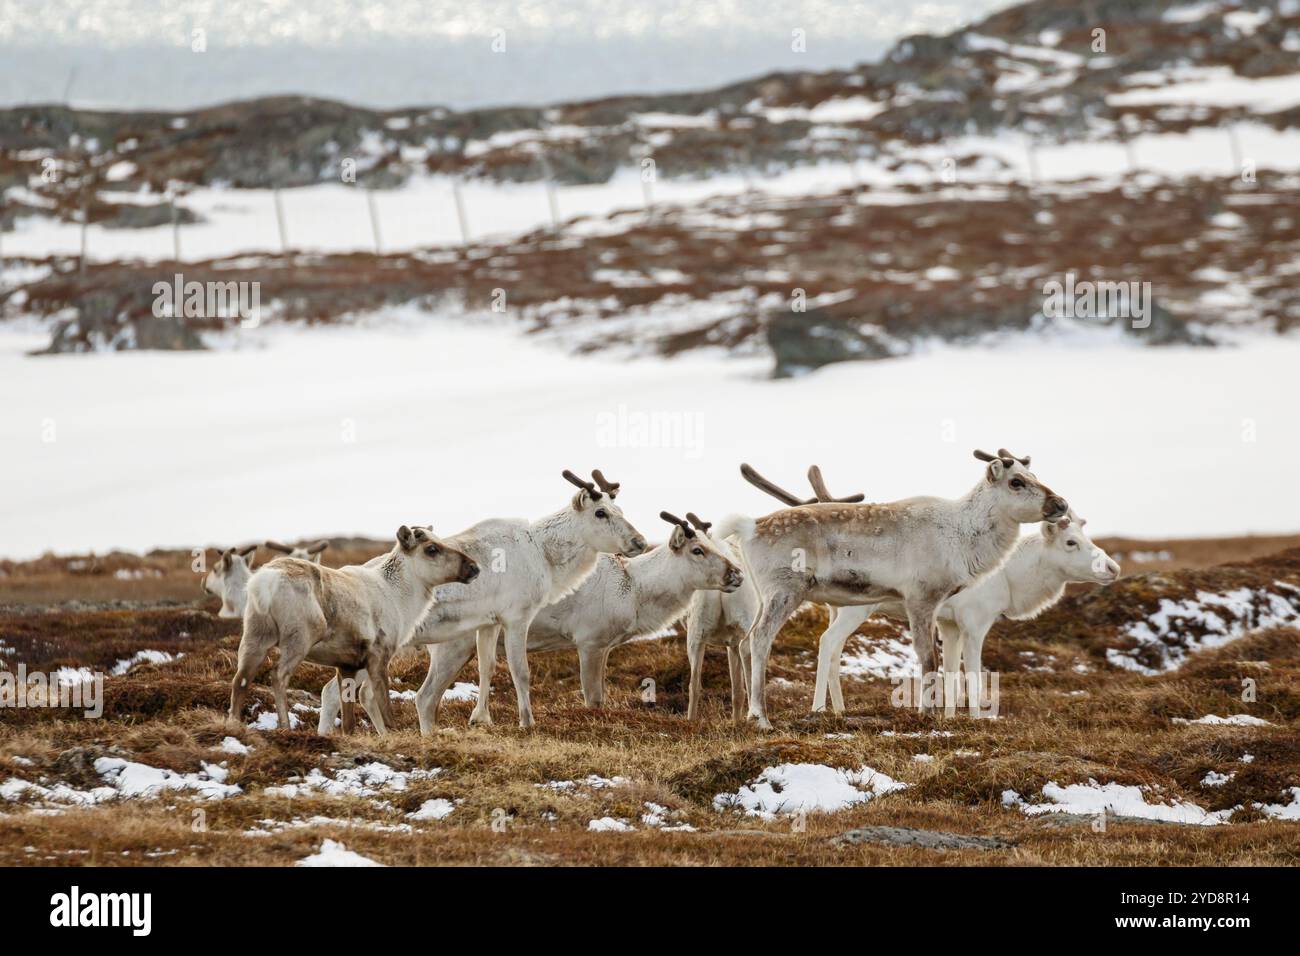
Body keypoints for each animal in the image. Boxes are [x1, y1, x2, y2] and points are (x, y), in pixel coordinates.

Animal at [227, 525, 478, 733]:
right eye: (432, 548)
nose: (474, 567)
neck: (399, 596)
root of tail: (262, 581)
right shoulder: (379, 654)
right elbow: (382, 703)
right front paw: (395, 732)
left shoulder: (346, 664)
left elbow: (348, 715)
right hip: (299, 638)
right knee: (278, 676)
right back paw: (286, 727)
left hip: (255, 637)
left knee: (240, 679)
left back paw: (234, 724)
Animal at [317, 469, 646, 732]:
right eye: (600, 513)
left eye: (619, 508)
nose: (640, 541)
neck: (545, 554)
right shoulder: (517, 616)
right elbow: (520, 671)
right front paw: (526, 722)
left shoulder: (489, 622)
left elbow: (487, 667)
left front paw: (481, 718)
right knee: (336, 692)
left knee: (360, 694)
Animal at [391, 511, 743, 724]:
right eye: (697, 550)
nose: (737, 574)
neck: (635, 589)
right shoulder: (589, 642)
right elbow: (594, 698)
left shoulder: (606, 646)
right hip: (453, 645)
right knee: (425, 697)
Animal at [714, 448, 1069, 728]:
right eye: (1016, 482)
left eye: (1034, 474)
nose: (1061, 503)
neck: (963, 536)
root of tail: (749, 527)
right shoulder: (921, 597)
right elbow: (929, 659)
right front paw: (927, 715)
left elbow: (945, 663)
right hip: (785, 590)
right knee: (760, 639)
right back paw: (762, 718)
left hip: (765, 594)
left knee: (746, 642)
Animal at [812, 510, 1120, 715]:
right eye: (1070, 542)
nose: (1113, 568)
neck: (1010, 578)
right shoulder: (975, 624)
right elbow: (972, 679)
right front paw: (975, 721)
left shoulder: (950, 626)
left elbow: (950, 676)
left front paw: (947, 719)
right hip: (857, 609)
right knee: (826, 642)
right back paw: (817, 709)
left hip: (838, 608)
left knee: (836, 652)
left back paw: (840, 710)